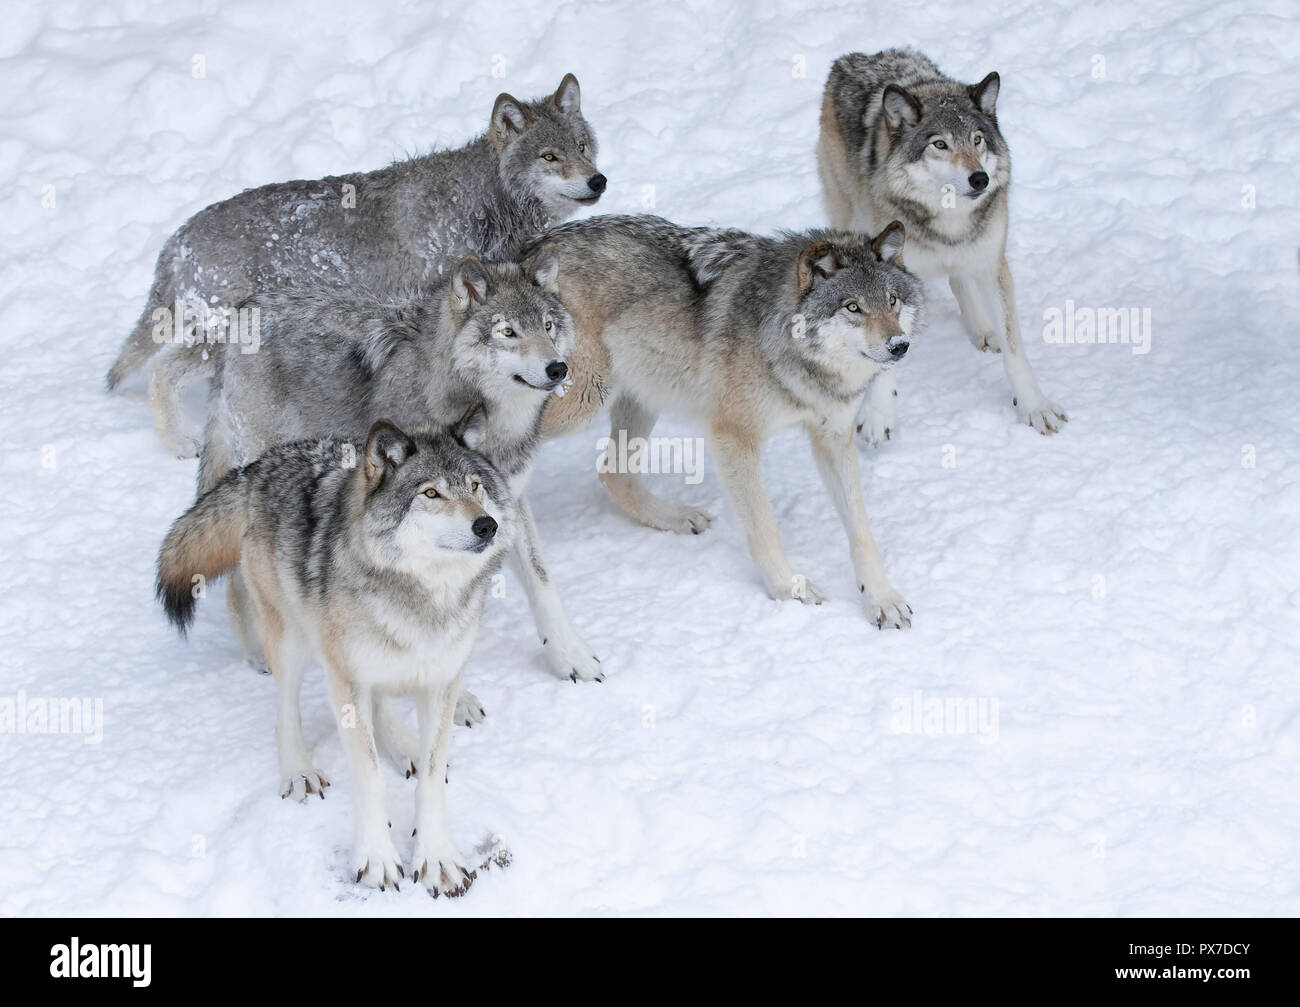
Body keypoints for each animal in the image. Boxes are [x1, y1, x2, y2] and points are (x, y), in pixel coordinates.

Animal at [106, 74, 604, 458]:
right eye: (549, 157)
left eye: (582, 147)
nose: (597, 180)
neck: (484, 203)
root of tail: (179, 238)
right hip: (214, 341)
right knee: (160, 371)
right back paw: (179, 444)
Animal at [157, 421, 515, 894]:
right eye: (431, 493)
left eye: (476, 486)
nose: (487, 525)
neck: (421, 597)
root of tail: (263, 463)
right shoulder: (346, 678)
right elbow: (369, 777)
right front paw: (377, 859)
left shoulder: (442, 680)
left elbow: (431, 778)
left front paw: (437, 858)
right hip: (293, 640)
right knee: (285, 712)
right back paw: (298, 772)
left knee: (380, 707)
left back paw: (405, 748)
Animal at [202, 244, 603, 720]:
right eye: (507, 332)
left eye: (547, 326)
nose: (557, 368)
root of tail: (244, 310)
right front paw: (454, 697)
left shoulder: (503, 502)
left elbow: (543, 582)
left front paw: (571, 656)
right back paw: (258, 653)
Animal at [531, 215, 923, 628]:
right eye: (852, 307)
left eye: (892, 301)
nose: (899, 345)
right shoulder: (733, 437)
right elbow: (765, 527)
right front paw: (789, 591)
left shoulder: (834, 438)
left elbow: (862, 531)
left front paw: (882, 599)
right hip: (579, 402)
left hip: (642, 398)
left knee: (612, 472)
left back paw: (676, 518)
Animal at [817, 48, 1066, 440]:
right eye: (939, 144)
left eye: (977, 139)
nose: (980, 178)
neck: (947, 222)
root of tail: (858, 56)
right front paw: (877, 414)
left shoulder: (992, 265)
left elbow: (1015, 351)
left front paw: (1034, 407)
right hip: (843, 209)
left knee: (959, 278)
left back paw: (982, 329)